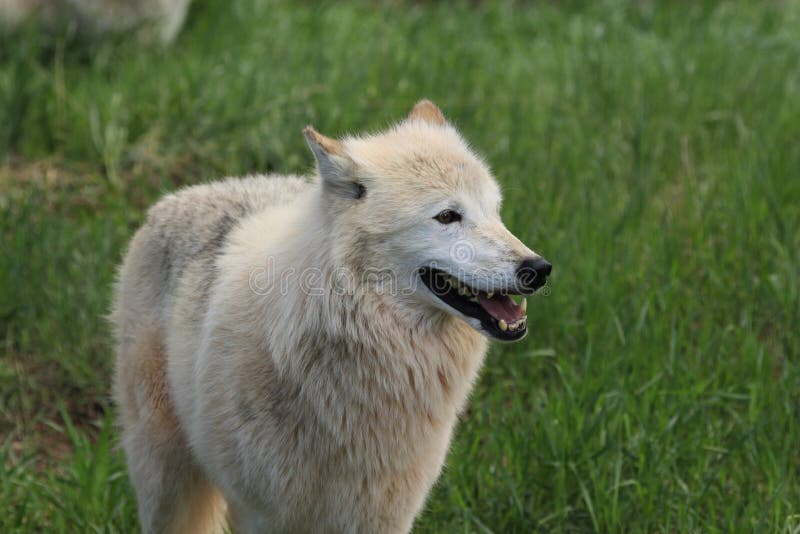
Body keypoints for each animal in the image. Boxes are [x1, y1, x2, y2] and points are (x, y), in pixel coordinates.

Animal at [111, 100, 552, 533]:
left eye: (495, 212)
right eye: (447, 216)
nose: (539, 268)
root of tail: (176, 197)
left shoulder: (383, 515)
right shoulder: (263, 515)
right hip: (164, 485)